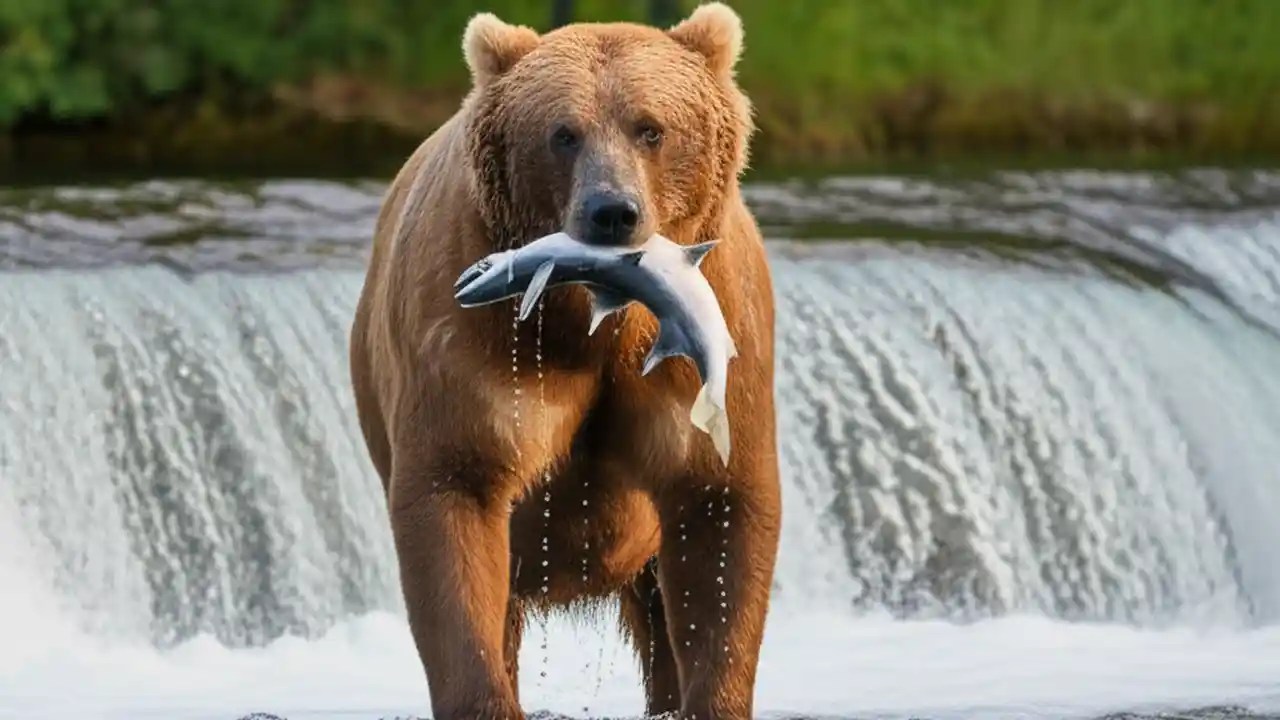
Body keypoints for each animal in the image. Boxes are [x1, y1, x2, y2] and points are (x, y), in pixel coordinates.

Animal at [347, 4, 780, 719]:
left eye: (650, 127)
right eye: (563, 134)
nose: (612, 211)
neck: (598, 318)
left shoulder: (716, 333)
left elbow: (721, 513)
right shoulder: (473, 346)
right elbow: (456, 497)